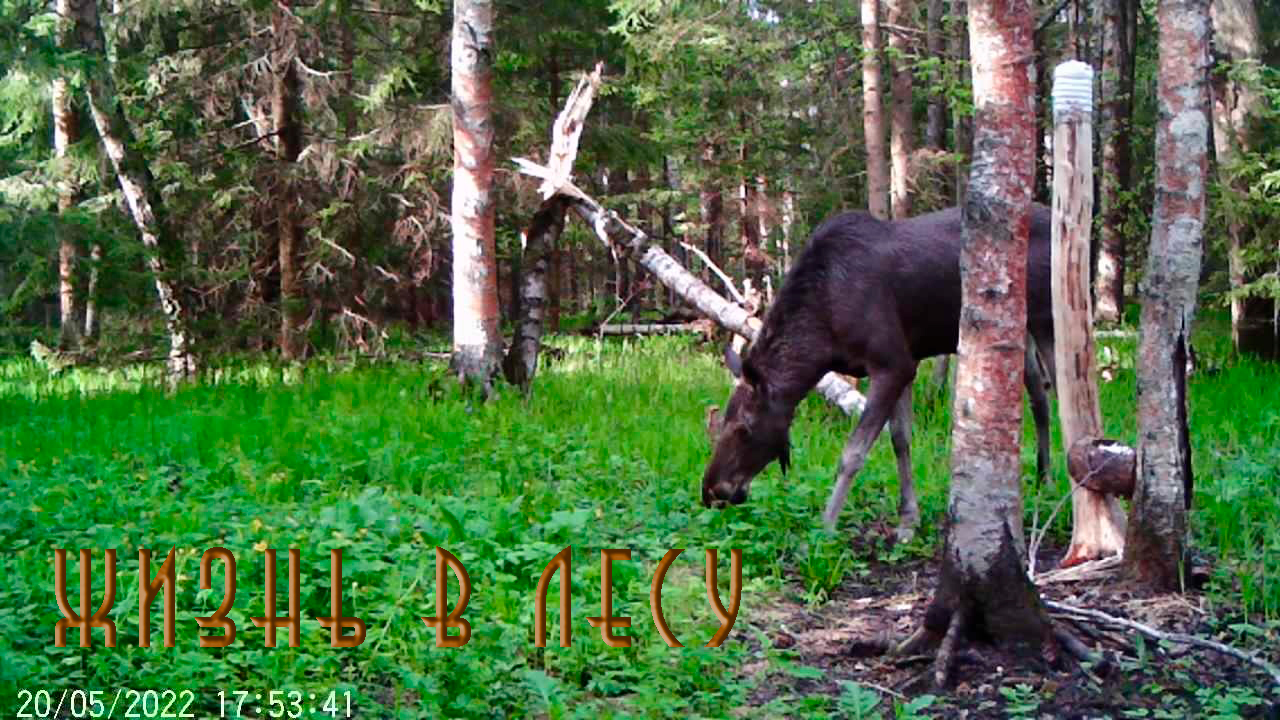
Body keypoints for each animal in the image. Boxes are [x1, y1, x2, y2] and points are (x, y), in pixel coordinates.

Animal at [696, 203, 1054, 538]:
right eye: (723, 420)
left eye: (744, 428)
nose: (711, 491)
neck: (823, 341)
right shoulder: (907, 363)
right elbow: (900, 439)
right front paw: (909, 519)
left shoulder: (892, 364)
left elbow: (853, 453)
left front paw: (826, 526)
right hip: (1015, 332)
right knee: (1039, 395)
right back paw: (1043, 478)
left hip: (1046, 318)